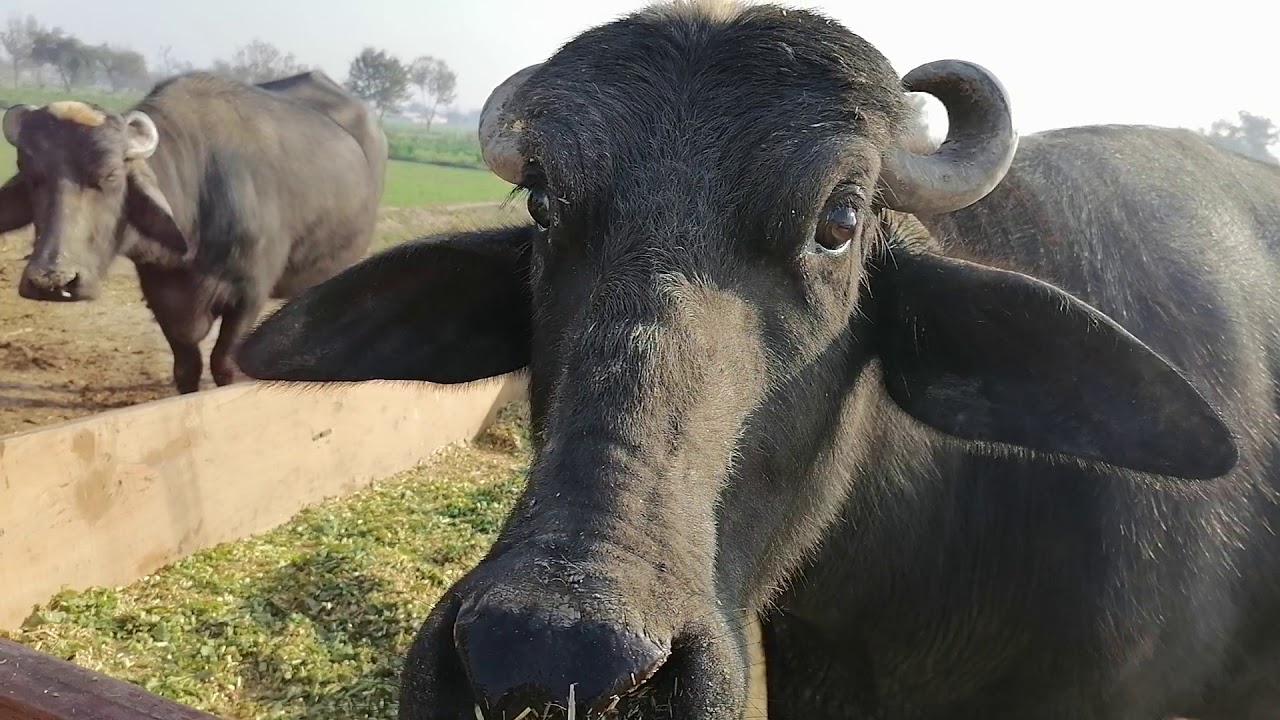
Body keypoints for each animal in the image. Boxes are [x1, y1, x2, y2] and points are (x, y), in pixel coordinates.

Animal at [0, 70, 387, 393]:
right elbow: (186, 367)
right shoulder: (162, 297)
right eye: (31, 173)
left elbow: (225, 364)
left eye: (110, 174)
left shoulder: (248, 295)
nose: (52, 282)